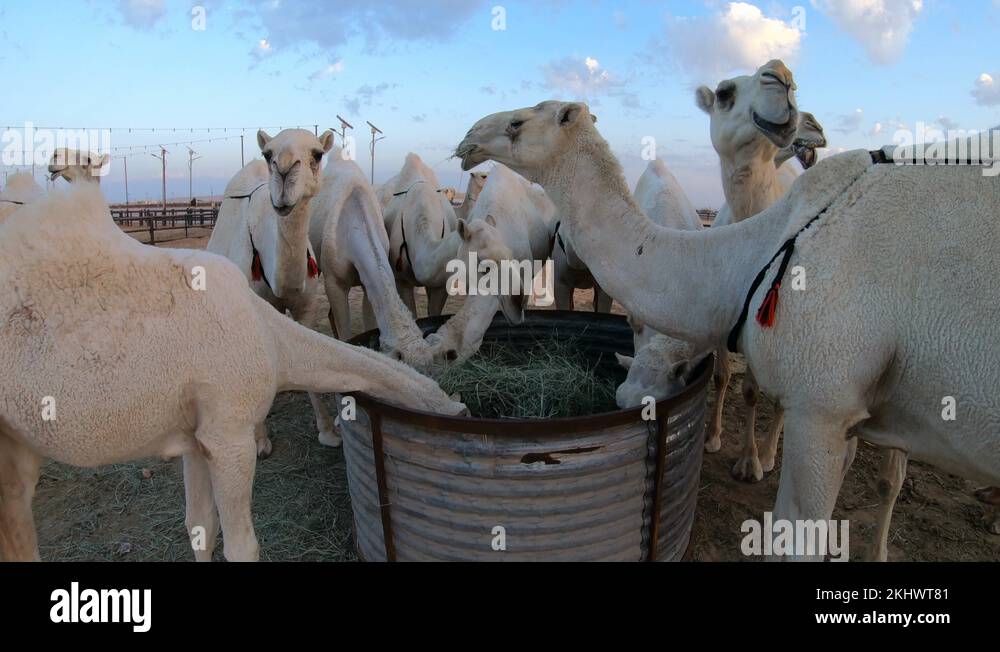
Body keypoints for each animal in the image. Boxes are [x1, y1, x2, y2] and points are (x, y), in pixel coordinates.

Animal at [0, 185, 465, 562]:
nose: (461, 412)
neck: (274, 340)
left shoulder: (195, 435)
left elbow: (200, 527)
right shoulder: (229, 431)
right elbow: (243, 546)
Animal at [208, 128, 336, 452]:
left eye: (317, 154)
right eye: (268, 154)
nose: (284, 170)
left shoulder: (306, 306)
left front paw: (329, 431)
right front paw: (260, 440)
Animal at [456, 99, 1000, 560]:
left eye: (517, 122)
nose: (467, 138)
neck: (759, 253)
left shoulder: (824, 405)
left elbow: (796, 539)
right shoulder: (850, 412)